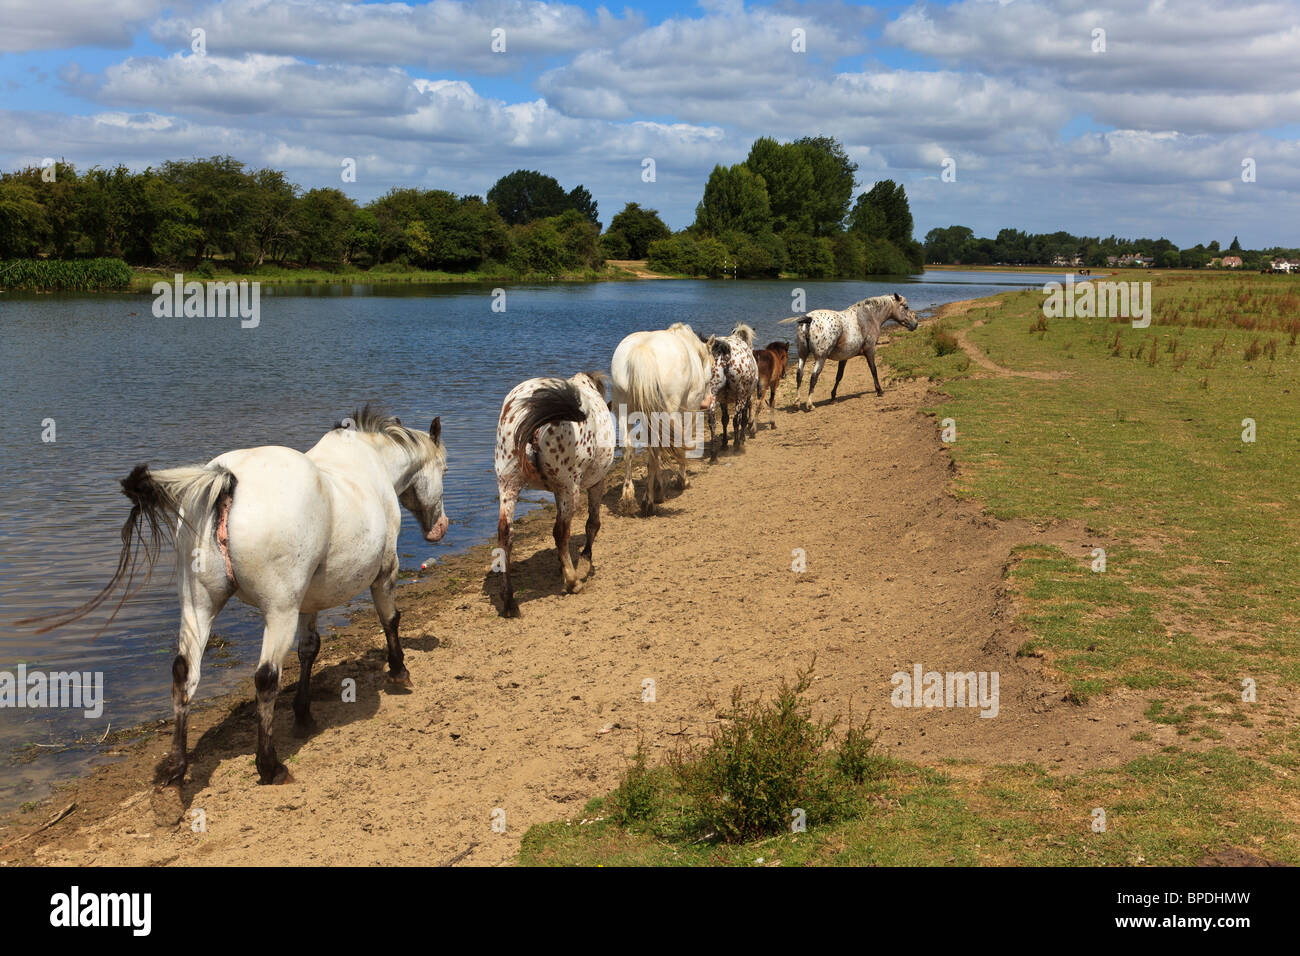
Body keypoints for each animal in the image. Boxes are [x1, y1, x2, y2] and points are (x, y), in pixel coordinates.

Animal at [22, 406, 448, 787]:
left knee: (184, 673)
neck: (367, 465)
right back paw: (270, 766)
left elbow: (309, 649)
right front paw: (399, 671)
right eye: (444, 470)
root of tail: (228, 480)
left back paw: (176, 767)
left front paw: (304, 714)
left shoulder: (308, 602)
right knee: (265, 678)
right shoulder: (384, 573)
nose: (440, 528)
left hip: (200, 605)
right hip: (278, 611)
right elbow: (389, 620)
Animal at [494, 371, 615, 617]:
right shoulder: (596, 481)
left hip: (508, 484)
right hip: (569, 489)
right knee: (560, 532)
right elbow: (593, 523)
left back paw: (509, 600)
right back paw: (573, 582)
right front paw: (585, 557)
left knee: (505, 534)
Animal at [610, 322, 714, 516]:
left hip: (625, 410)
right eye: (712, 371)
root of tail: (641, 351)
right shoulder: (690, 409)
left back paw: (629, 498)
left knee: (630, 449)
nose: (707, 401)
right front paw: (682, 480)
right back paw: (649, 501)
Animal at [703, 322, 759, 462]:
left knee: (712, 422)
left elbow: (724, 419)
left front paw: (724, 443)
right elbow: (743, 419)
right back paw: (737, 445)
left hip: (713, 395)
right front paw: (741, 439)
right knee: (736, 419)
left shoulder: (723, 400)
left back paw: (713, 454)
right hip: (741, 396)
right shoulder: (747, 396)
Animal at [780, 292, 920, 409]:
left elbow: (839, 376)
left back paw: (797, 403)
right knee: (814, 376)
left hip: (802, 355)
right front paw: (879, 391)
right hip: (820, 358)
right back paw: (809, 404)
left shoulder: (844, 358)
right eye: (905, 307)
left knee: (799, 375)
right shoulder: (870, 350)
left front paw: (833, 396)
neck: (868, 316)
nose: (915, 324)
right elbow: (873, 370)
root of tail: (809, 319)